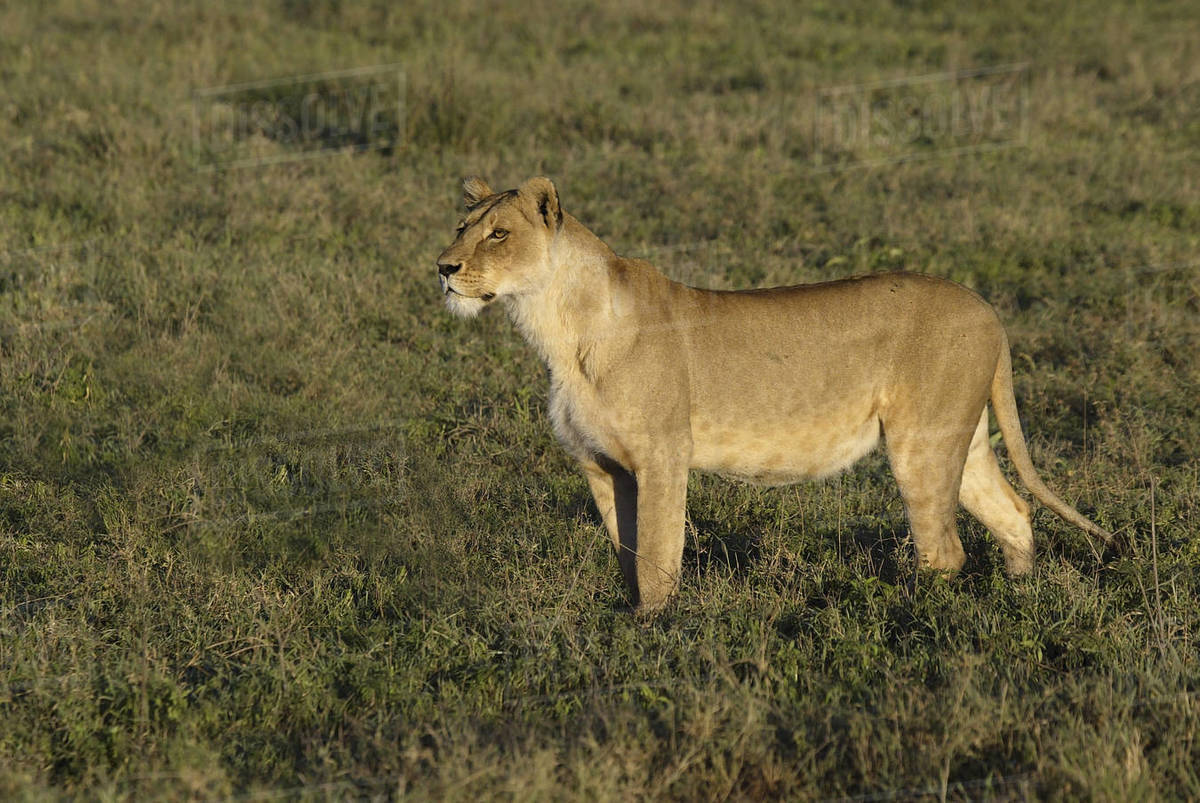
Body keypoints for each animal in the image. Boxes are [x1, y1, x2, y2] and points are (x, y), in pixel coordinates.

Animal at [436, 175, 1112, 612]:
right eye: (461, 228)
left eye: (498, 235)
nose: (443, 268)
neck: (555, 327)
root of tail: (988, 310)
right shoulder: (601, 466)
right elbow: (627, 555)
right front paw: (627, 623)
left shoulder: (662, 457)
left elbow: (657, 557)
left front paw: (653, 634)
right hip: (958, 439)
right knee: (1013, 512)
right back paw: (1019, 600)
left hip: (920, 444)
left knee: (944, 549)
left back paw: (914, 618)